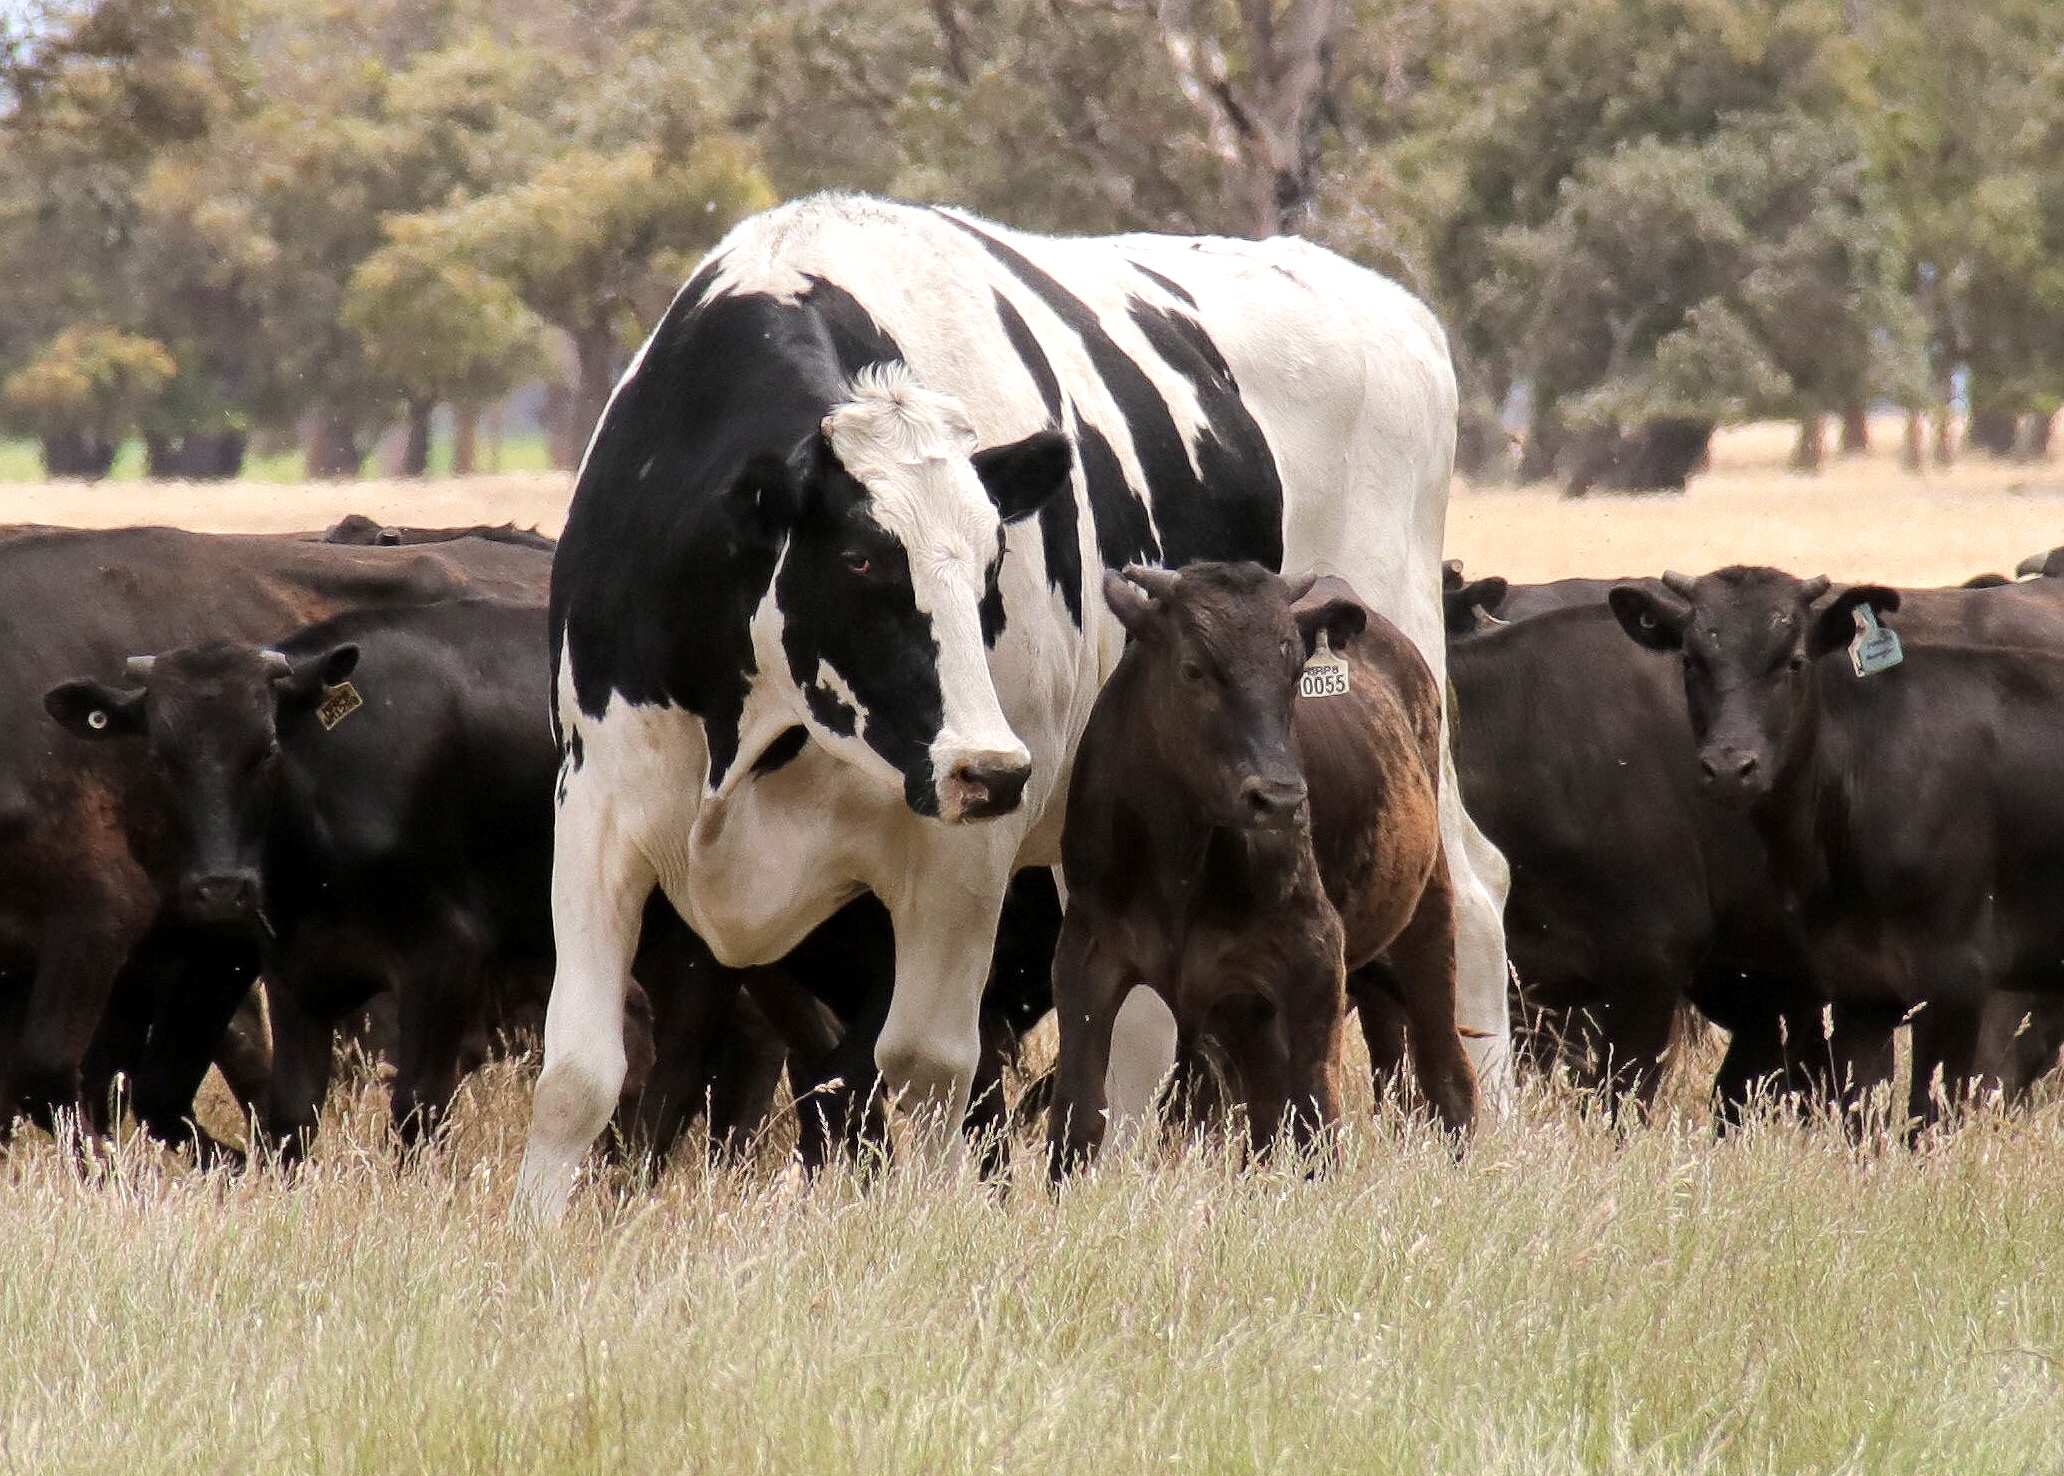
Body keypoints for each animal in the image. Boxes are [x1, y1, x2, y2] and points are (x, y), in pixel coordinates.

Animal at [1047, 564, 1474, 1169]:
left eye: (1295, 674)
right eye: (1193, 668)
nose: (1278, 799)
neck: (1180, 860)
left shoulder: (1315, 959)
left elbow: (1318, 1121)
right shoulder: (1088, 954)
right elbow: (1077, 1119)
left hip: (1426, 917)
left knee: (1446, 1079)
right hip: (1247, 1009)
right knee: (1268, 1115)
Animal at [1609, 566, 2064, 1126]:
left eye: (1795, 660)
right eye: (1691, 661)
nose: (1730, 767)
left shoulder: (1958, 981)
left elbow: (1929, 1118)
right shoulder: (1857, 989)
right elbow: (1860, 1116)